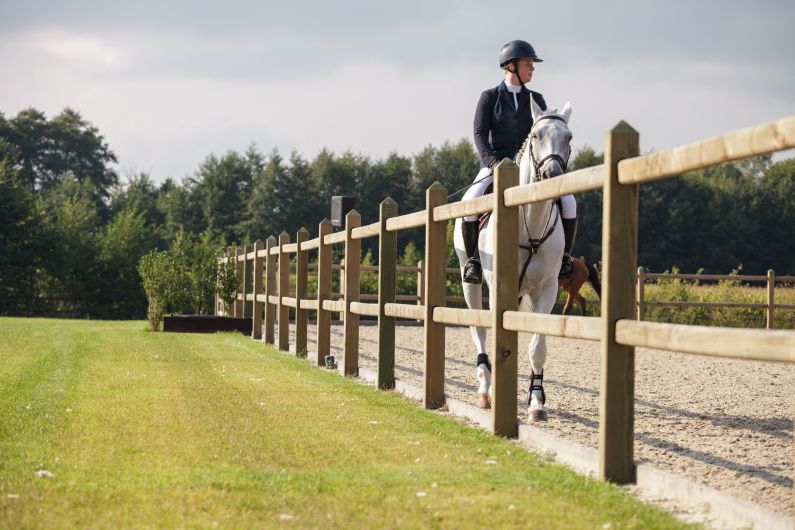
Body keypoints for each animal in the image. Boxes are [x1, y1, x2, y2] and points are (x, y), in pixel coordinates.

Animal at [453, 99, 572, 423]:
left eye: (568, 138)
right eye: (536, 136)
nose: (554, 175)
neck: (529, 221)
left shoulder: (547, 290)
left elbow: (537, 346)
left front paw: (536, 401)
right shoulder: (497, 288)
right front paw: (496, 392)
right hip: (471, 283)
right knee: (478, 328)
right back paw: (486, 388)